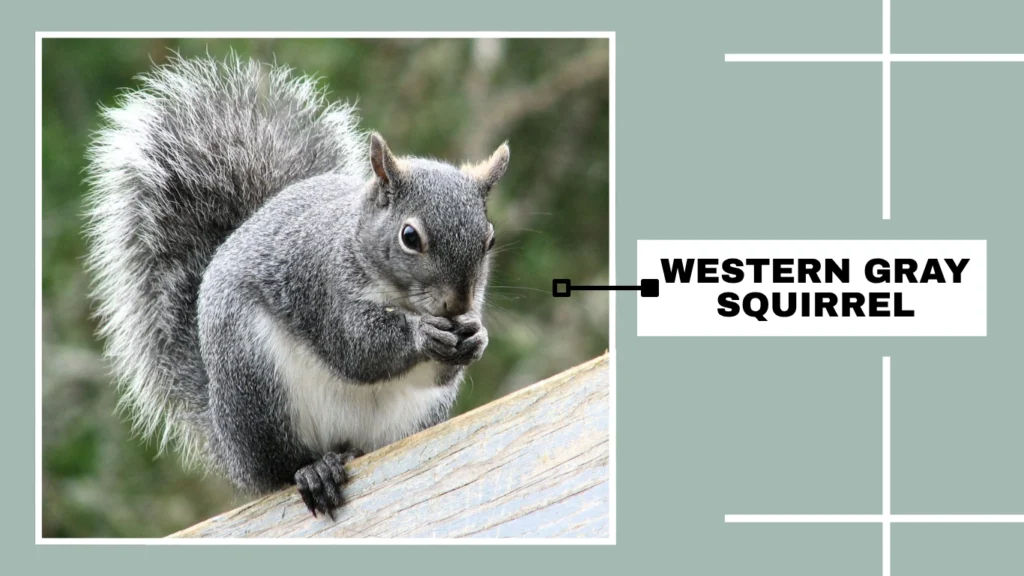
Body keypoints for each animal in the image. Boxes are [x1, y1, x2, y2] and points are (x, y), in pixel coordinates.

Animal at [83, 55, 510, 518]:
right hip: (257, 380)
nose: (458, 303)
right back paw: (313, 471)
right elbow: (355, 348)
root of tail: (230, 446)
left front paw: (476, 336)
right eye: (409, 237)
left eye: (489, 240)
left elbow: (435, 374)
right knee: (281, 468)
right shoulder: (318, 284)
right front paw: (421, 334)